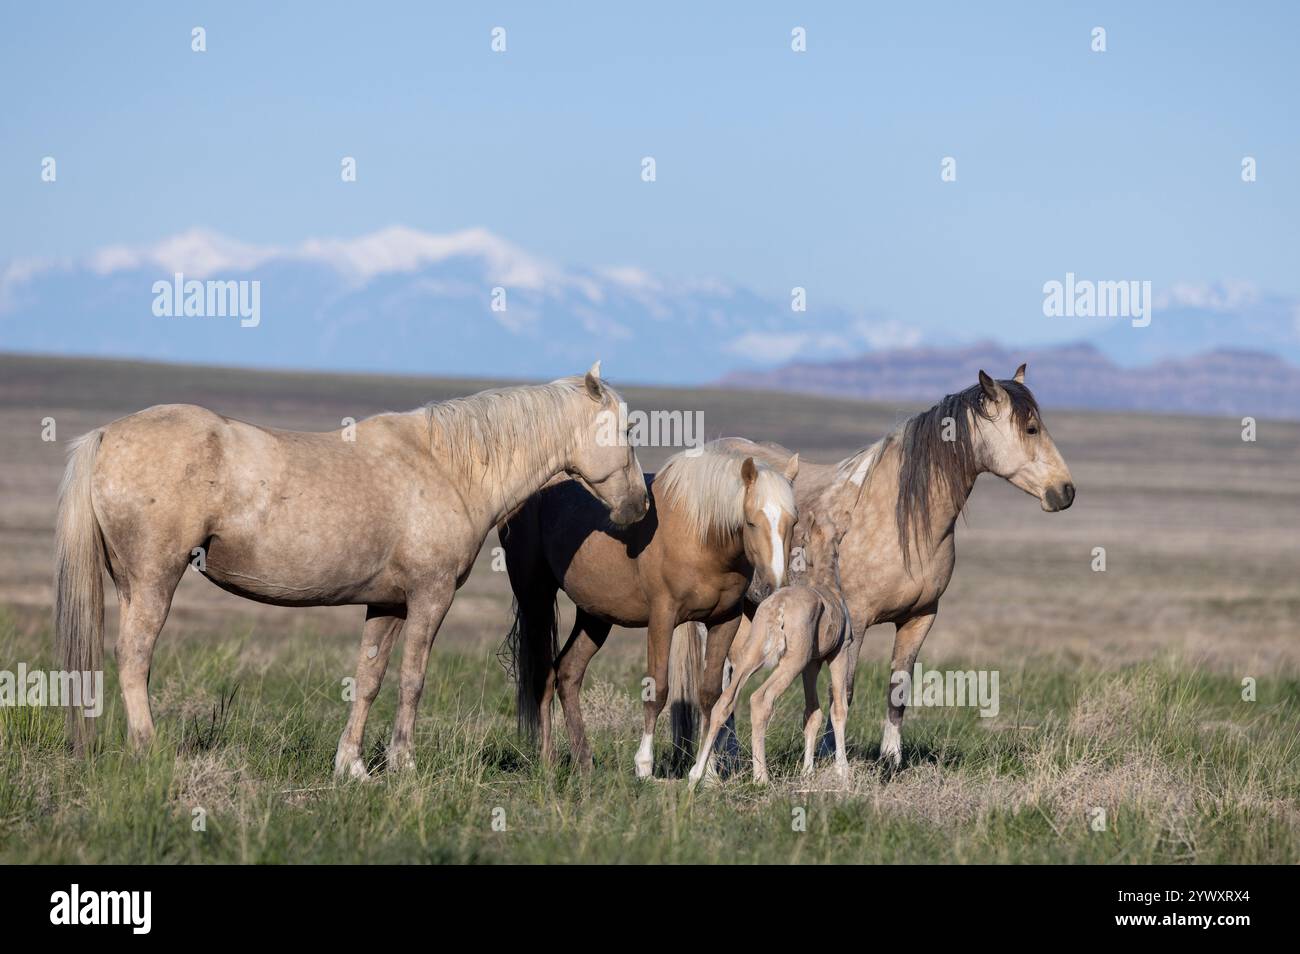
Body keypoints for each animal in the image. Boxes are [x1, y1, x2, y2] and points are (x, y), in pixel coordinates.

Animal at [53, 362, 649, 778]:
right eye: (623, 430)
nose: (640, 507)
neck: (446, 467)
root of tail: (105, 436)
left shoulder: (386, 604)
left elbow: (369, 680)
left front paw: (354, 766)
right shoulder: (430, 598)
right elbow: (412, 680)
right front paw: (405, 764)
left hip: (131, 585)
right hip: (155, 580)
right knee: (135, 659)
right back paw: (150, 752)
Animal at [501, 439, 799, 778]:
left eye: (793, 522)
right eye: (750, 522)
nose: (773, 588)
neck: (699, 534)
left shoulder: (725, 620)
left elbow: (711, 696)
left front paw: (706, 772)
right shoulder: (662, 617)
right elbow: (657, 690)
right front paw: (644, 766)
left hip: (594, 616)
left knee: (567, 673)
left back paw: (584, 762)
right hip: (535, 598)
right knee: (543, 676)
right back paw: (548, 763)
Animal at [687, 464, 868, 790]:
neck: (826, 585)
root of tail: (778, 608)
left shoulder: (812, 664)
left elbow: (812, 713)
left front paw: (807, 772)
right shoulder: (837, 655)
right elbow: (838, 708)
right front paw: (842, 772)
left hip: (754, 655)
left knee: (724, 701)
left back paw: (696, 775)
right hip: (790, 662)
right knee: (760, 699)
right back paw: (760, 777)